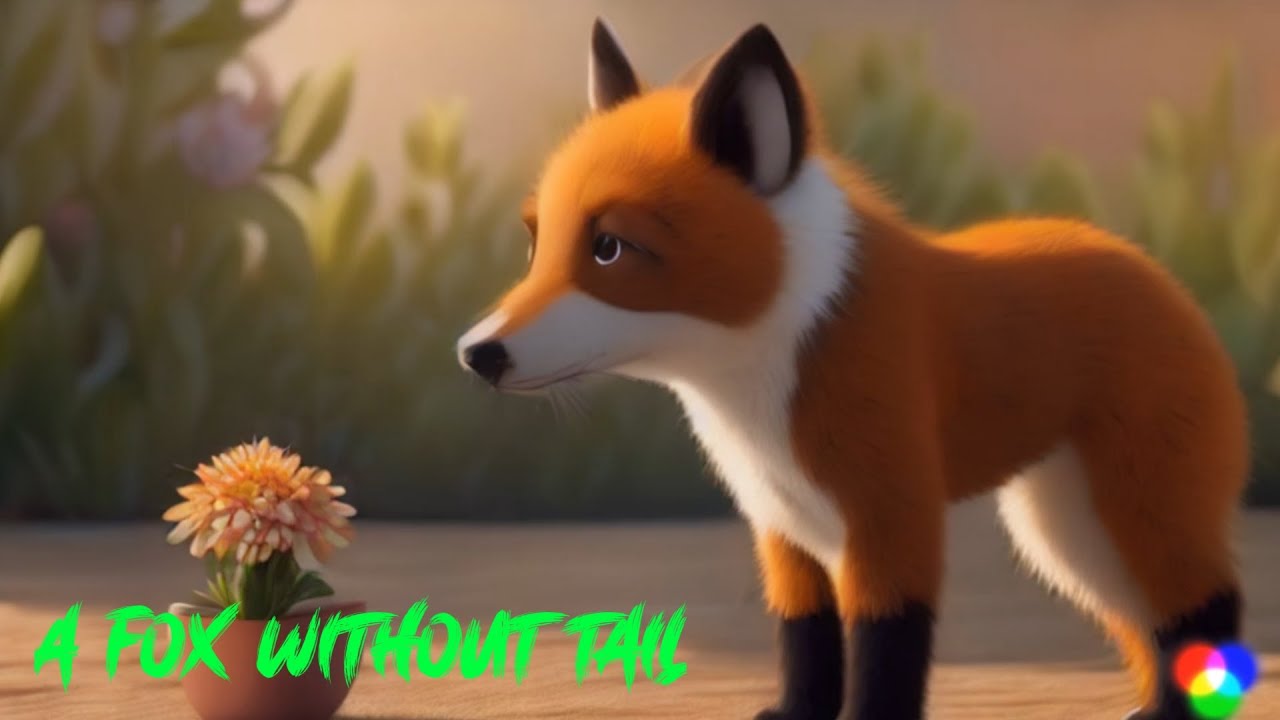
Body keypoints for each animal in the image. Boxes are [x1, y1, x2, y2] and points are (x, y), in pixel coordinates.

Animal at [456, 19, 1249, 720]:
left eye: (610, 248)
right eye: (535, 245)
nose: (475, 353)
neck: (762, 382)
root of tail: (1160, 277)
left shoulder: (891, 518)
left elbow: (885, 648)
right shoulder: (784, 527)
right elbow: (806, 642)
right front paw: (795, 712)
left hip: (1133, 513)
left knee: (1209, 607)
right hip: (1066, 533)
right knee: (1149, 619)